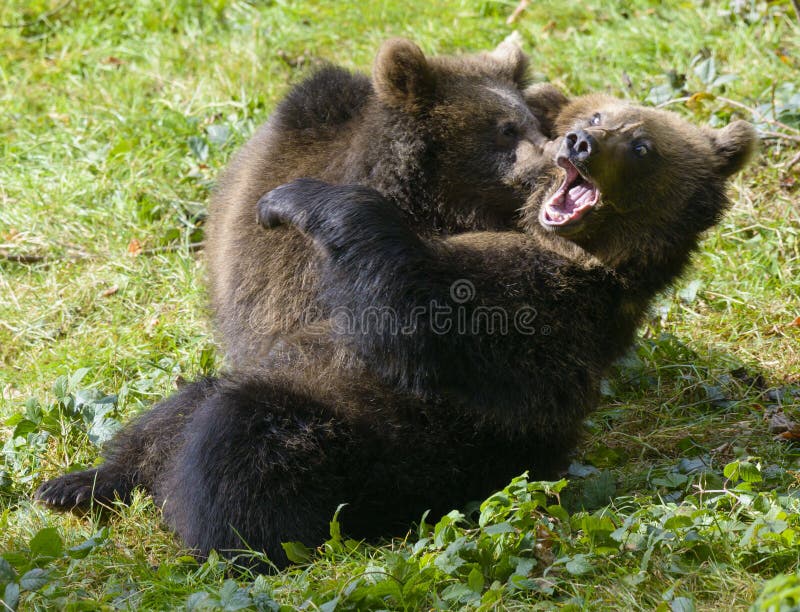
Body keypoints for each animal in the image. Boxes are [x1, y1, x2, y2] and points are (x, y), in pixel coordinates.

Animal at [36, 95, 756, 571]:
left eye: (643, 145)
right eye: (600, 116)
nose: (579, 142)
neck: (579, 255)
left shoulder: (532, 313)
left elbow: (413, 313)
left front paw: (298, 199)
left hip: (379, 456)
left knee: (249, 437)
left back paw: (217, 539)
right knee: (179, 410)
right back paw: (81, 483)